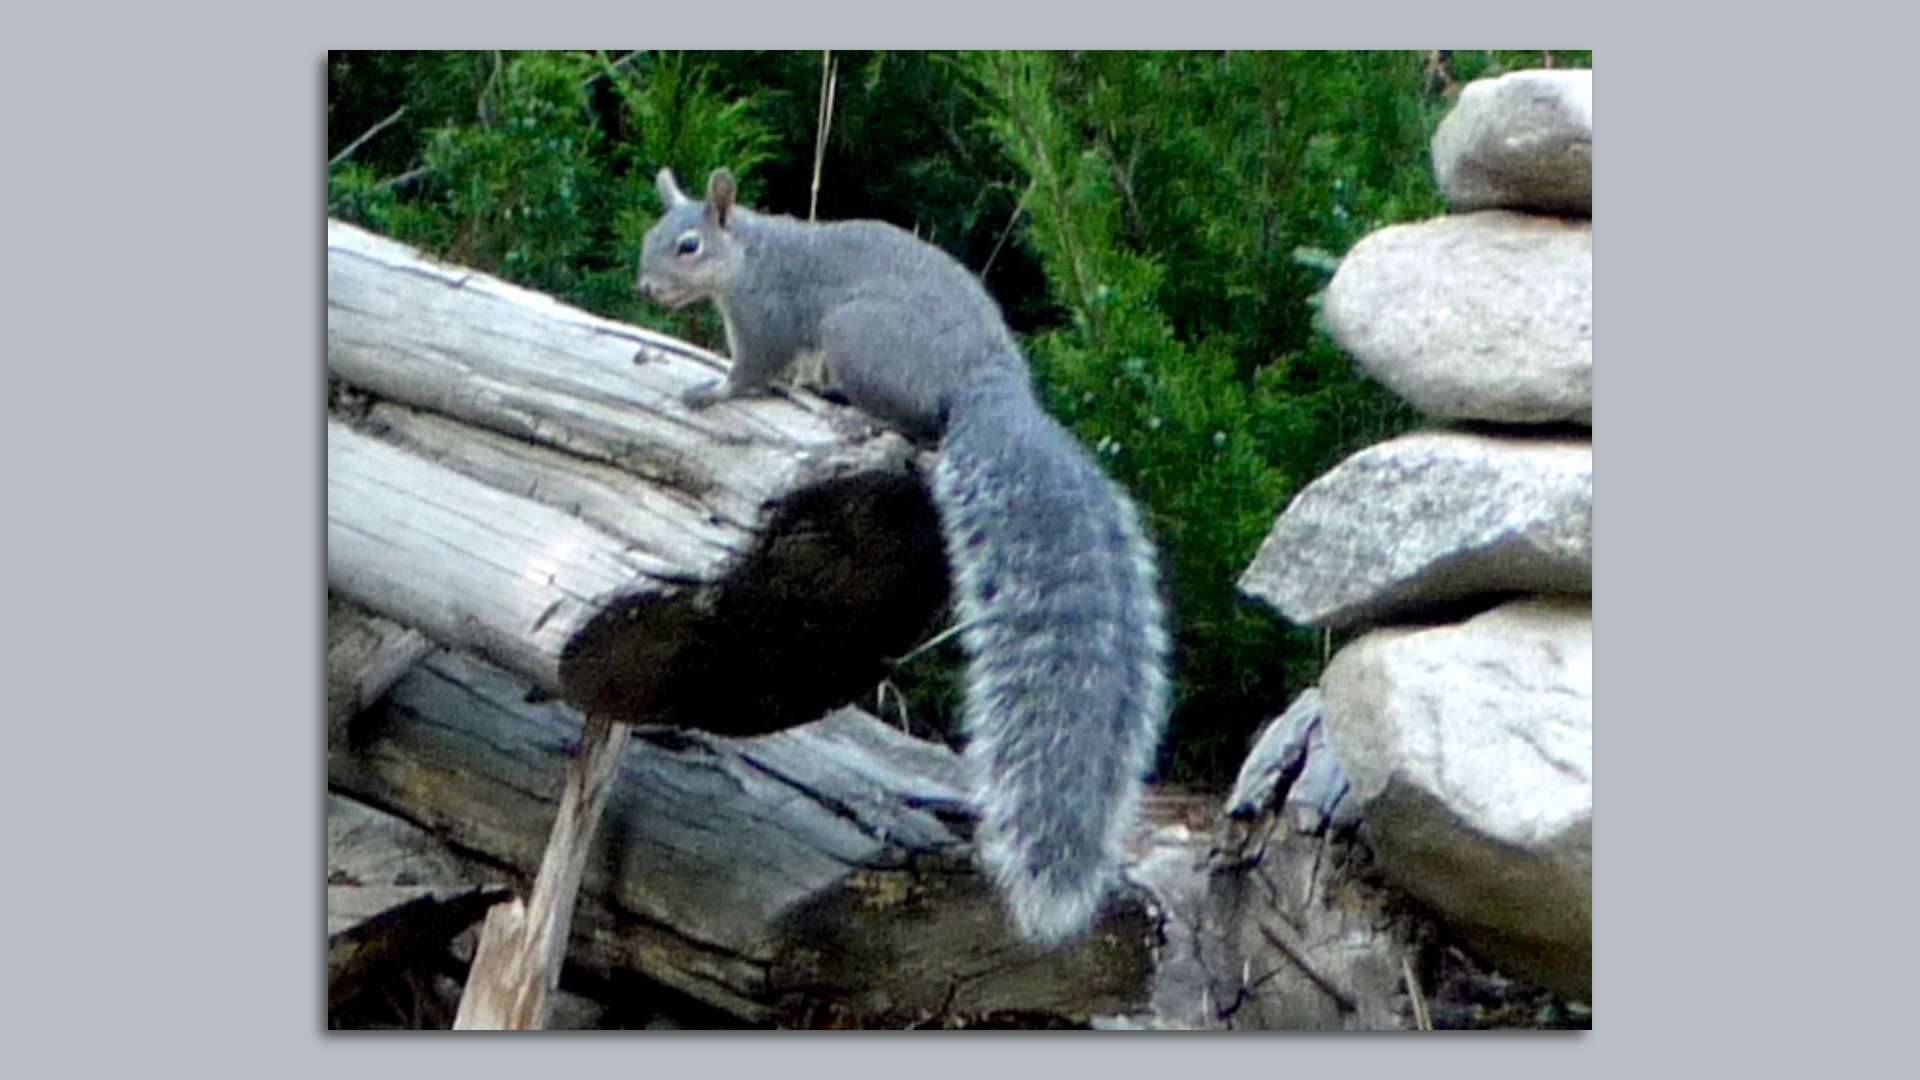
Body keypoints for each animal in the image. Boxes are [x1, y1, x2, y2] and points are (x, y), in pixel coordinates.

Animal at [637, 168, 1171, 947]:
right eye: (654, 238)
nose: (647, 286)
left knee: (917, 425)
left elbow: (750, 373)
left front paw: (710, 391)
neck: (753, 254)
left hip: (857, 335)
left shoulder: (768, 317)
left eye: (688, 245)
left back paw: (855, 413)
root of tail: (986, 381)